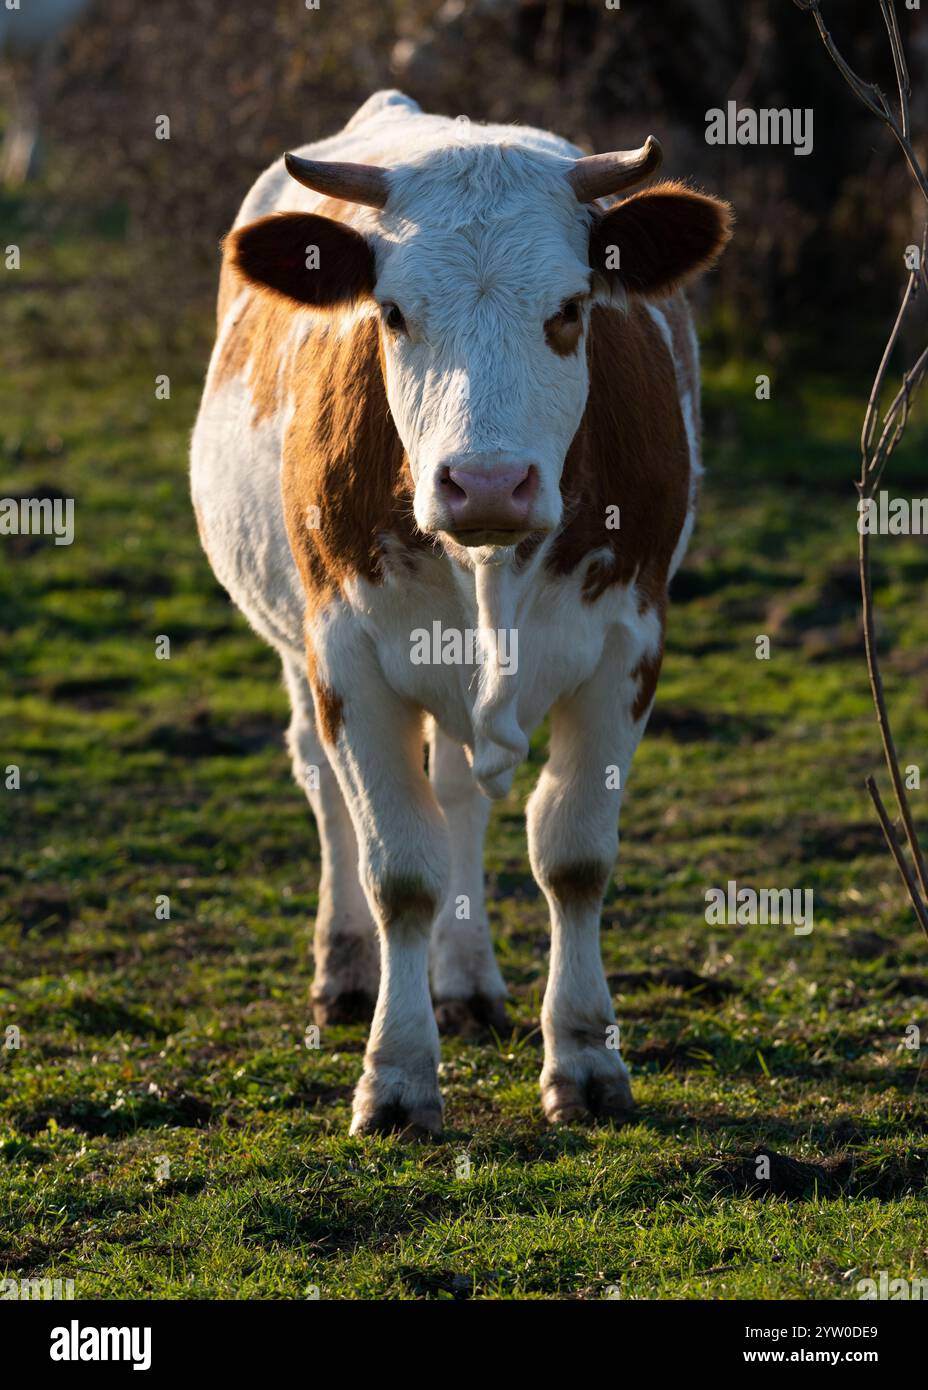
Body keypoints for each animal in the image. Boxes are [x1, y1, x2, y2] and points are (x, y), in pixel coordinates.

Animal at [190, 89, 731, 1139]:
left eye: (570, 310)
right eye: (394, 314)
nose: (484, 483)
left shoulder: (628, 645)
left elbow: (572, 857)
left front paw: (586, 1060)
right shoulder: (346, 652)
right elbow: (399, 869)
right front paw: (397, 1077)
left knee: (460, 799)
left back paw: (468, 984)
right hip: (295, 642)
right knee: (326, 788)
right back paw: (345, 973)